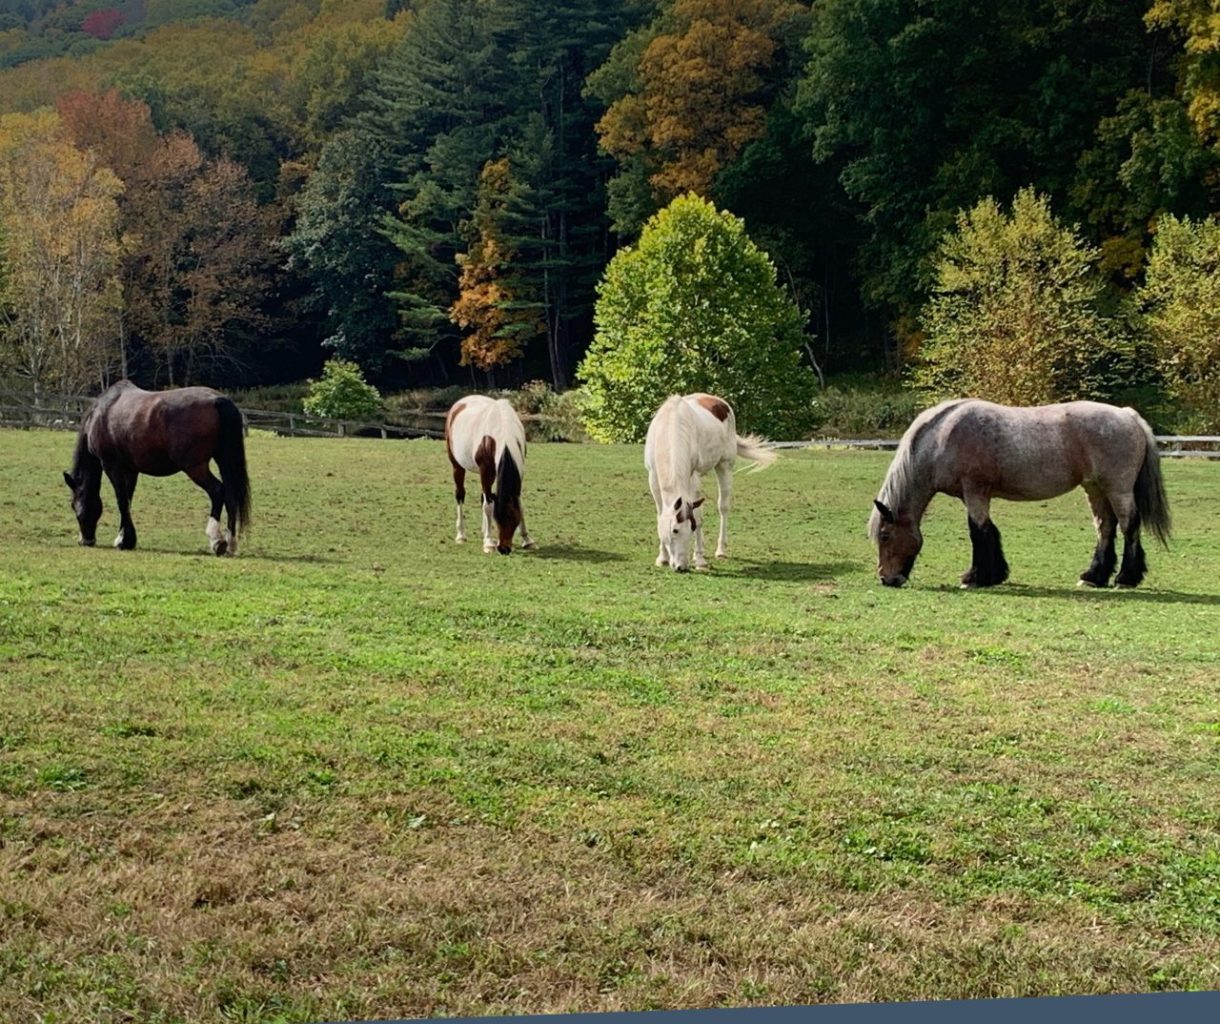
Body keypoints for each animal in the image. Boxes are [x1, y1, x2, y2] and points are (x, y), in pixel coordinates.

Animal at [62, 380, 251, 556]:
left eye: (74, 505)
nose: (86, 541)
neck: (101, 414)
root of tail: (218, 400)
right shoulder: (130, 470)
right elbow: (128, 500)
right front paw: (125, 538)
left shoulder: (112, 466)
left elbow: (121, 501)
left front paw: (123, 541)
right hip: (223, 460)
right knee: (231, 496)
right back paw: (231, 543)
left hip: (195, 467)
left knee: (218, 491)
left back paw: (216, 540)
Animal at [444, 395, 535, 554]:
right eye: (497, 519)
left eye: (513, 519)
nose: (503, 549)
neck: (503, 431)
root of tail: (458, 404)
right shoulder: (485, 471)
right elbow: (488, 506)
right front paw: (488, 543)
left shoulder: (520, 470)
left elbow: (518, 505)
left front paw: (527, 539)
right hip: (457, 466)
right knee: (460, 494)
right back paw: (461, 535)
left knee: (483, 497)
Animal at [644, 393, 777, 572]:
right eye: (675, 530)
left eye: (691, 528)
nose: (681, 567)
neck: (671, 430)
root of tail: (720, 402)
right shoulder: (653, 477)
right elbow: (660, 516)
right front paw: (662, 558)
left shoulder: (693, 479)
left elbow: (699, 517)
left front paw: (700, 561)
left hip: (724, 466)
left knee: (723, 507)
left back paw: (721, 550)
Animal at [868, 398, 1171, 589]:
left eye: (885, 535)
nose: (886, 579)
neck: (943, 438)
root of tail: (1127, 415)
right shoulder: (976, 495)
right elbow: (988, 530)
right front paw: (994, 574)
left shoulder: (974, 491)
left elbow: (978, 532)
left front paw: (975, 577)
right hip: (1095, 488)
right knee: (1105, 526)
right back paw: (1094, 576)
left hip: (1117, 488)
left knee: (1129, 526)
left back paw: (1125, 578)